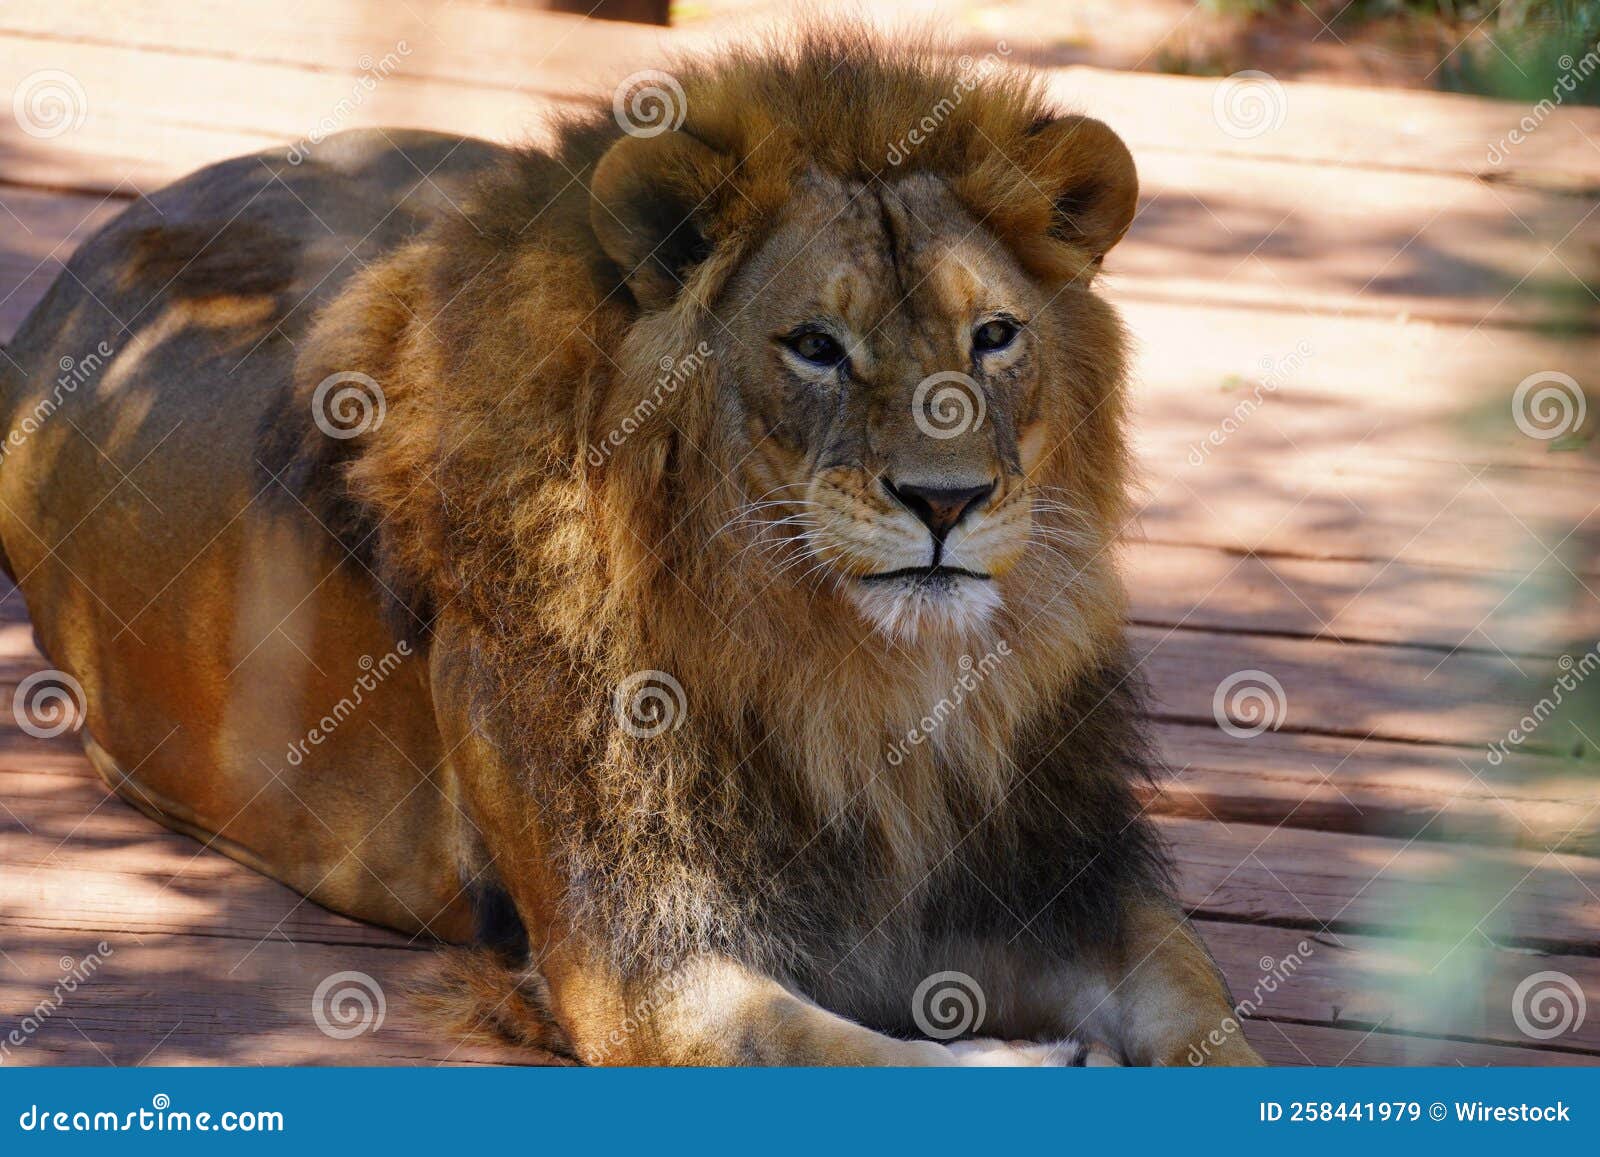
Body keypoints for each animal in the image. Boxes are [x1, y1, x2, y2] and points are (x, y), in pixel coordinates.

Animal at [0, 31, 1262, 1066]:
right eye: (814, 345)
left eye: (994, 336)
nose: (945, 500)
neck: (852, 676)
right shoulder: (633, 964)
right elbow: (844, 1055)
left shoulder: (1061, 875)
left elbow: (1210, 1016)